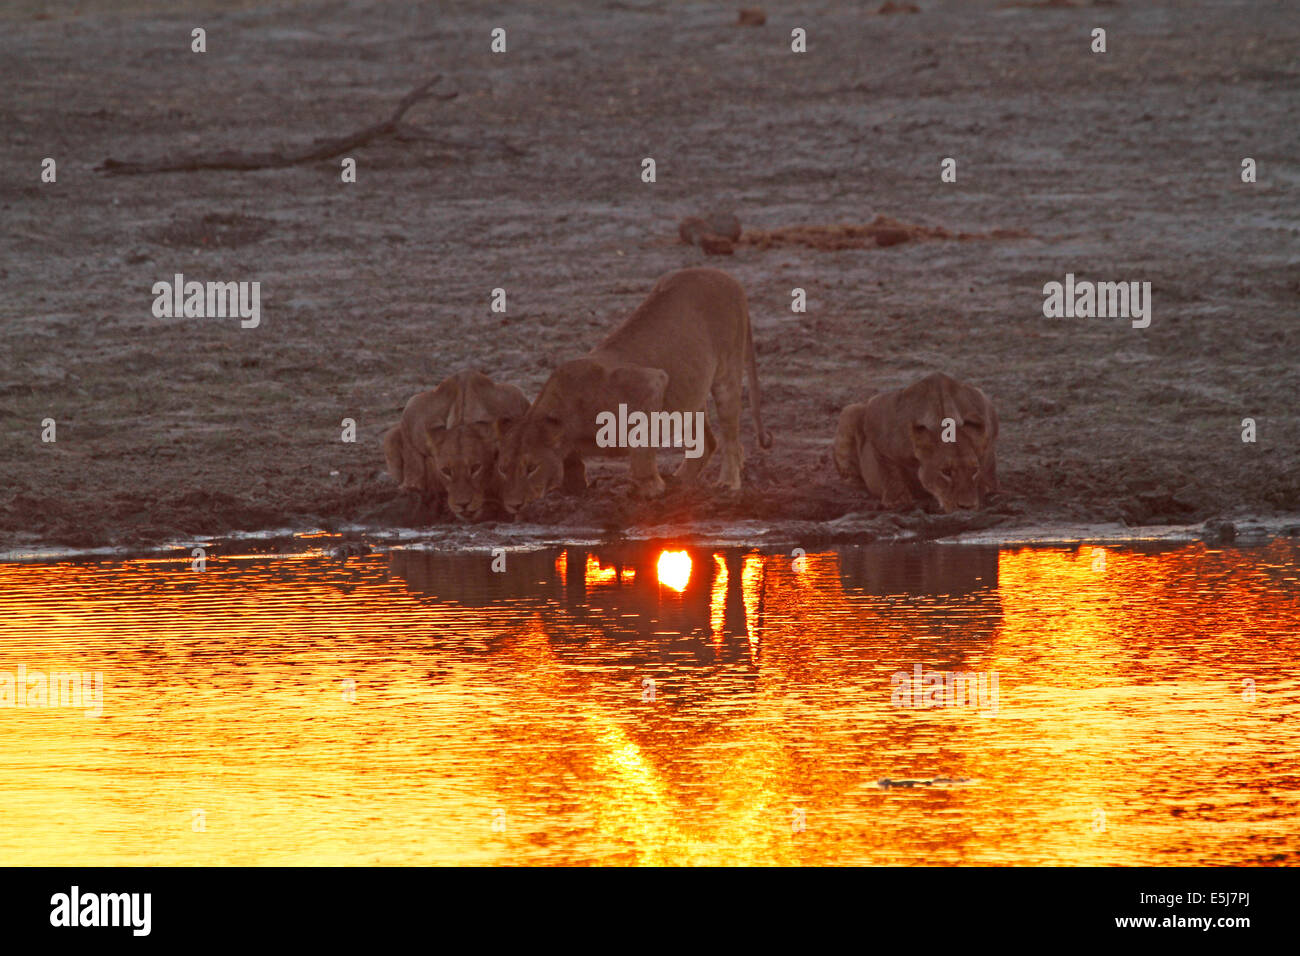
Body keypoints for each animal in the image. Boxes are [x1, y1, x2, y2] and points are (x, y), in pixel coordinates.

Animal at [383, 370, 530, 520]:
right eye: (446, 471)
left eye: (475, 468)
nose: (463, 504)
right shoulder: (414, 413)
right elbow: (412, 459)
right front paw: (412, 488)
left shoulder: (516, 400)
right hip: (390, 437)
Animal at [496, 268, 772, 515]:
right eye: (503, 469)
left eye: (531, 468)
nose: (513, 505)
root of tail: (728, 277)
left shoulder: (652, 383)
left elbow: (640, 447)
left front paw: (652, 488)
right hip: (691, 390)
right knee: (707, 442)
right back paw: (679, 481)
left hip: (727, 372)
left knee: (730, 438)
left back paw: (726, 482)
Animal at [833, 372, 998, 513]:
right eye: (946, 472)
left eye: (974, 470)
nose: (967, 507)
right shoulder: (876, 418)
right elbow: (889, 471)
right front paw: (898, 500)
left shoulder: (986, 412)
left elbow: (988, 467)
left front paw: (986, 489)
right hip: (851, 411)